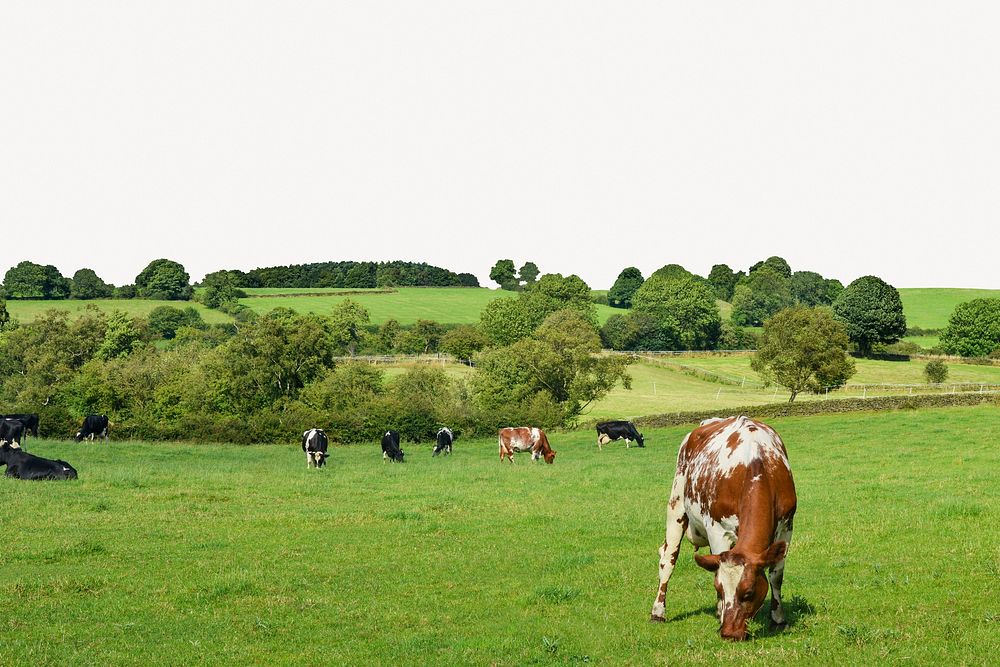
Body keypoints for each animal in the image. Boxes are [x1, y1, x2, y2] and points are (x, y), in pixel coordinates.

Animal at [650, 415, 796, 642]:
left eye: (749, 592)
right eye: (718, 588)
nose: (729, 633)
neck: (756, 463)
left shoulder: (787, 527)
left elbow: (776, 576)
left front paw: (778, 619)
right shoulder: (717, 530)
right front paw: (721, 612)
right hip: (676, 504)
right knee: (668, 559)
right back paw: (658, 612)